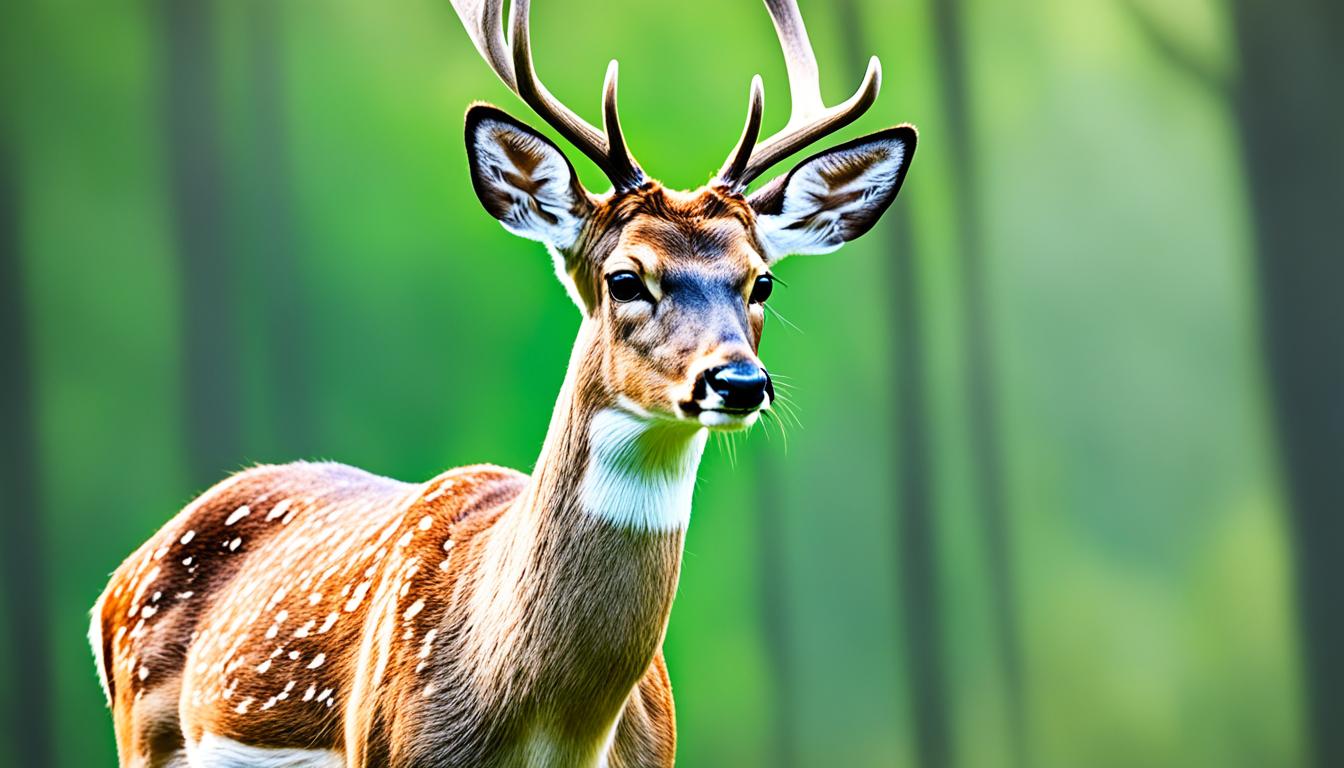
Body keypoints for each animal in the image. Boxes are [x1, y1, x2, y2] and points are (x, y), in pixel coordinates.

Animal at [89, 1, 915, 765]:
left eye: (761, 281)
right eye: (626, 277)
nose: (739, 381)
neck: (551, 730)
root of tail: (111, 590)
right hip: (144, 736)